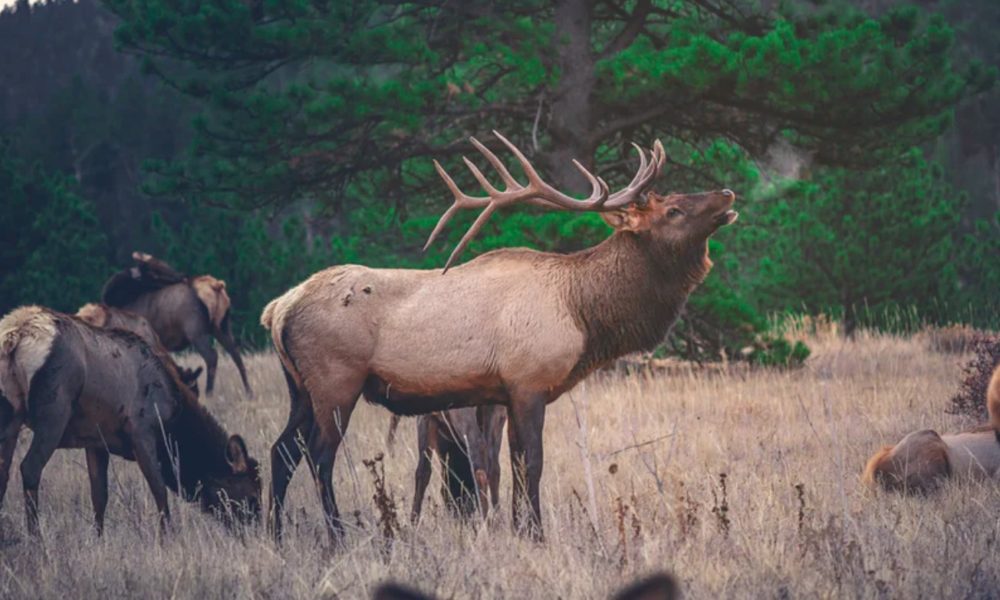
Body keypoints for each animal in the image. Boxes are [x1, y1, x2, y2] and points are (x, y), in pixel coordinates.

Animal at [261, 131, 738, 542]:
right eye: (673, 210)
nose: (728, 194)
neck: (582, 313)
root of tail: (278, 309)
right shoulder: (528, 382)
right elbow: (533, 464)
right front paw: (537, 534)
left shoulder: (502, 393)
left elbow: (510, 465)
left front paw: (518, 529)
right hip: (336, 380)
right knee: (318, 456)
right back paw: (336, 536)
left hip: (300, 388)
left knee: (281, 451)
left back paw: (275, 533)